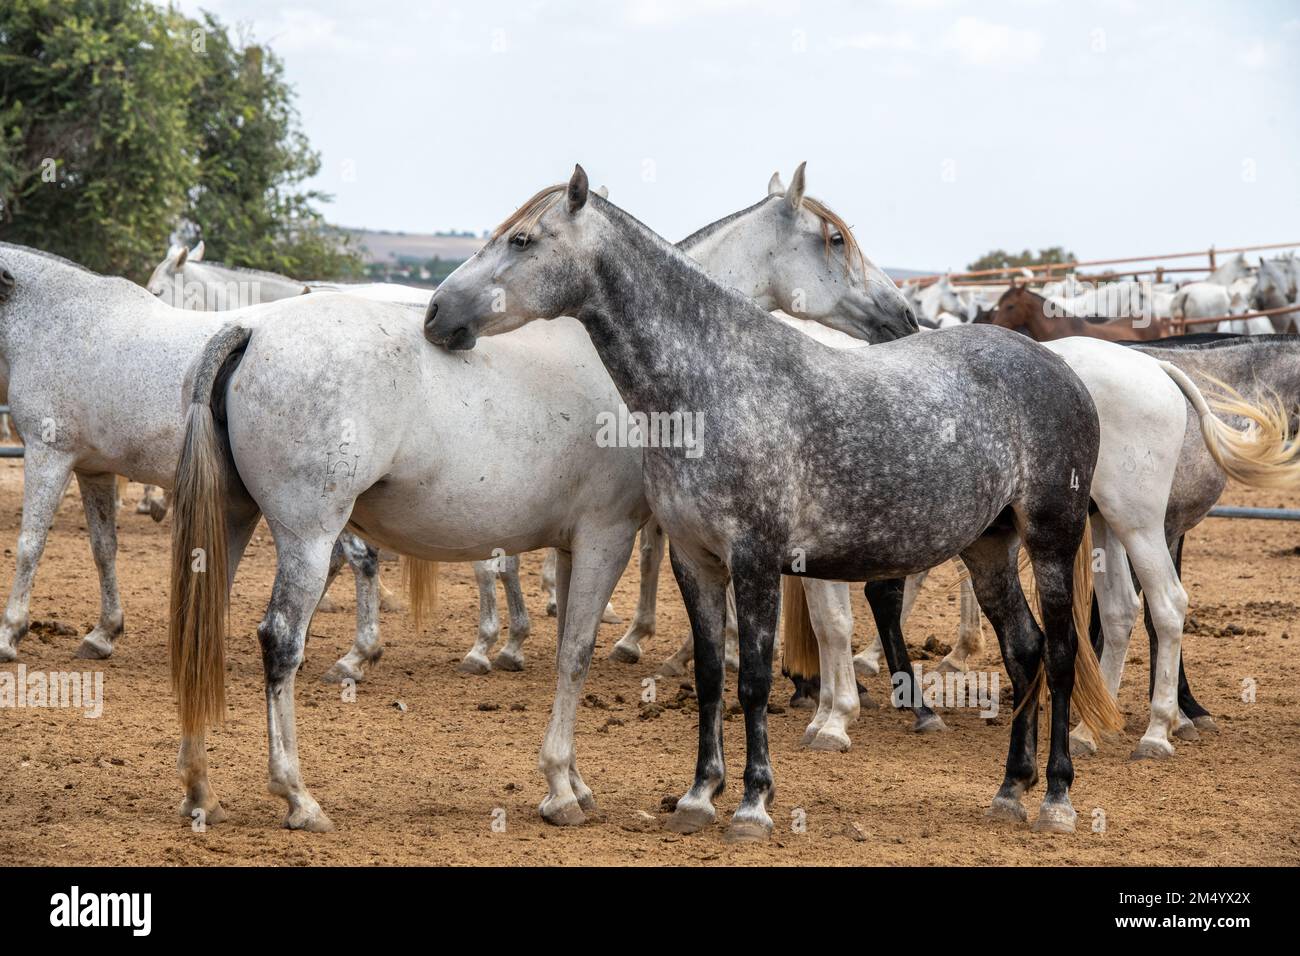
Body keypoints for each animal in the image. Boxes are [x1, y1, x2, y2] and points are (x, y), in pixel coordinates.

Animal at [426, 165, 1123, 839]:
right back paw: (1010, 789)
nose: (436, 313)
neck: (715, 383)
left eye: (522, 240)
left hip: (1052, 539)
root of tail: (1063, 371)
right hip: (989, 548)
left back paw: (1056, 797)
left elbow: (754, 679)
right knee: (1024, 650)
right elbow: (712, 675)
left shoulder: (756, 559)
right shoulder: (695, 560)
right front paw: (698, 796)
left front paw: (753, 804)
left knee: (1060, 654)